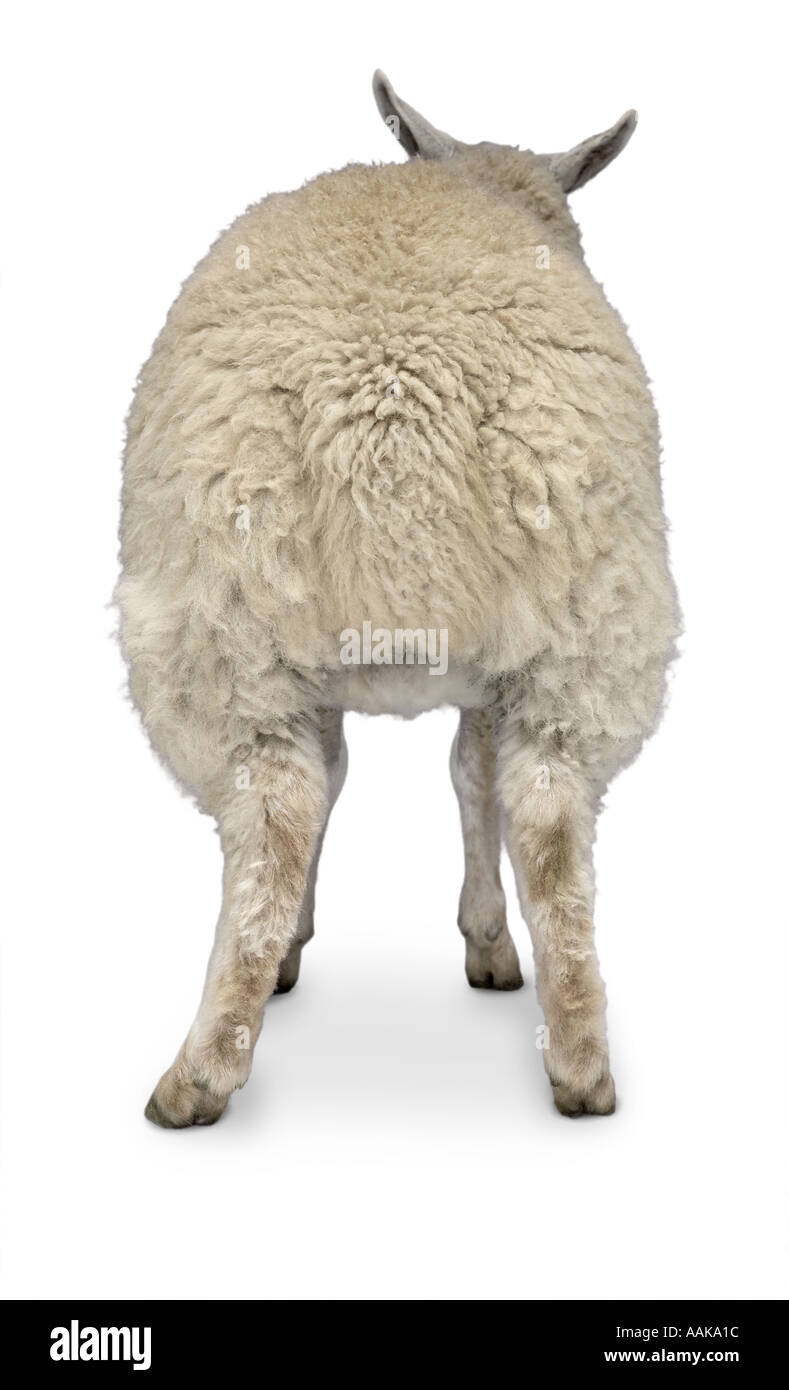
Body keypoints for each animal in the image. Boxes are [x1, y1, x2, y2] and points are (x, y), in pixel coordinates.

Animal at [118, 70, 679, 1127]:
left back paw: (204, 1069)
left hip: (229, 615)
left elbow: (421, 777)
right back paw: (581, 1062)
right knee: (547, 817)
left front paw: (464, 943)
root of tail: (393, 420)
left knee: (283, 809)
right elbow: (455, 776)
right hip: (572, 618)